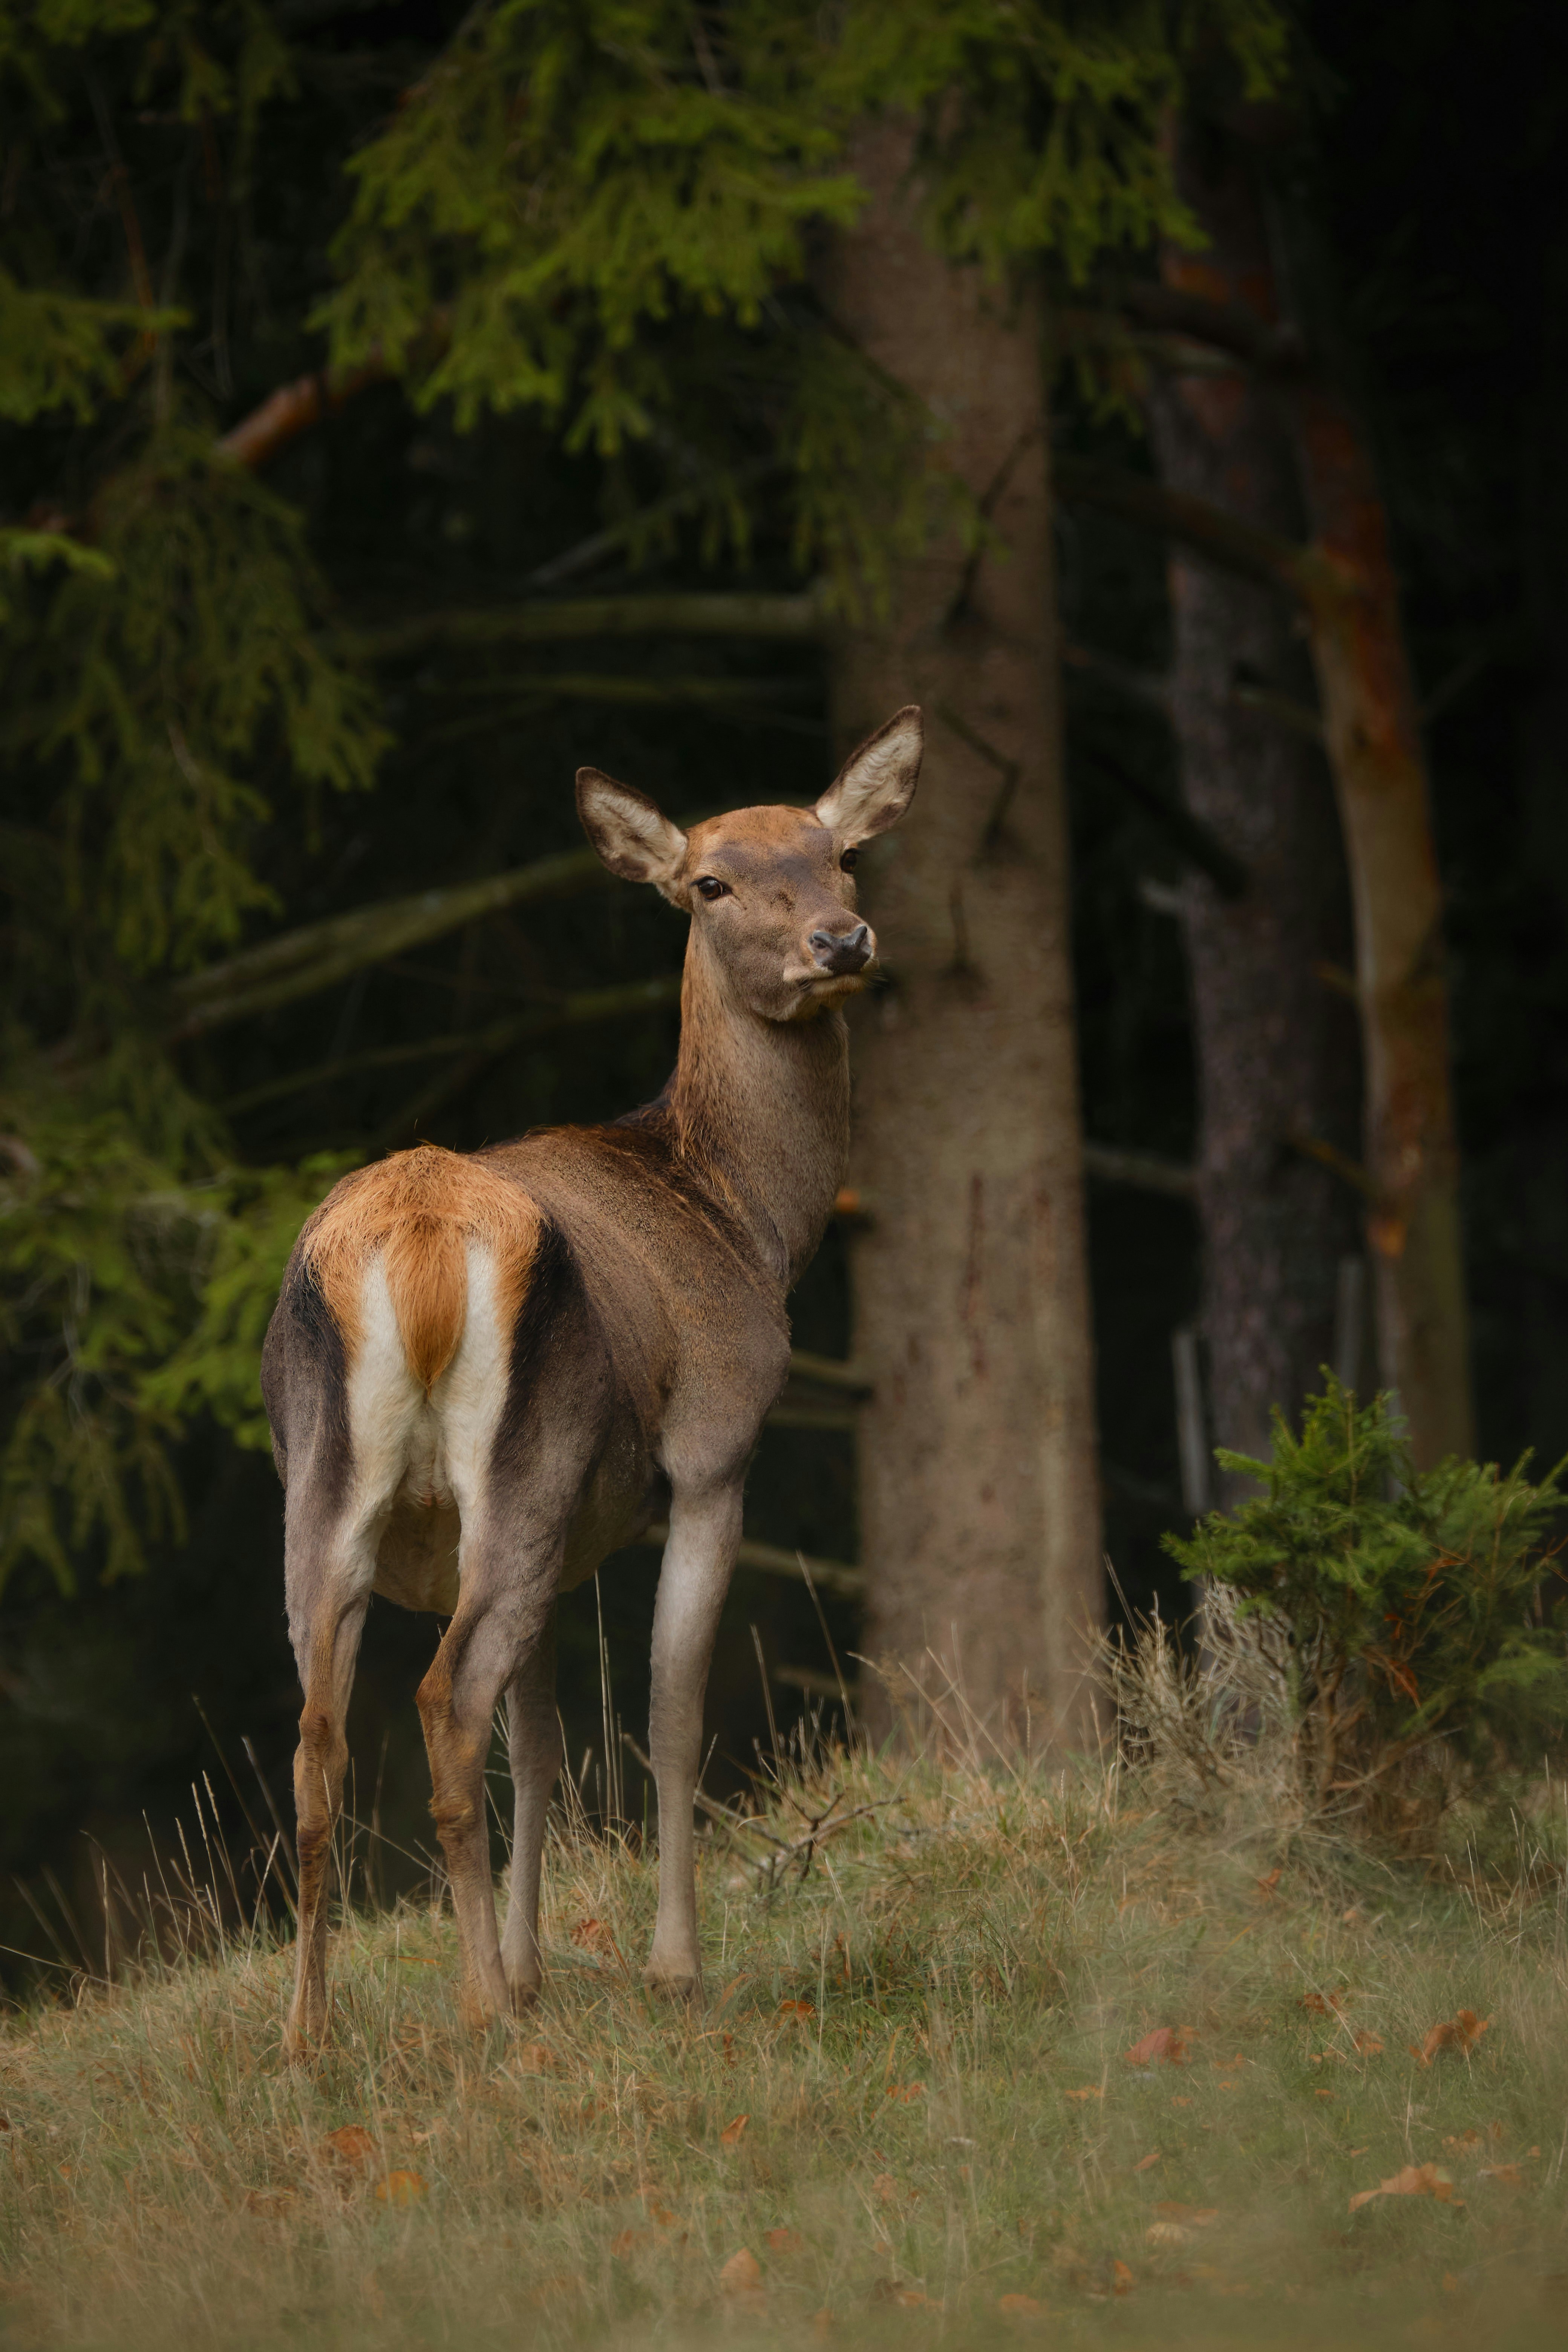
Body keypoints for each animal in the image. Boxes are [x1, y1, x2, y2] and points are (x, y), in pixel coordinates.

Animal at [260, 705, 923, 2054]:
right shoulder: (716, 1444)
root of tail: (416, 1244)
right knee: (445, 1702)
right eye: (711, 882)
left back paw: (309, 2038)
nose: (843, 941)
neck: (744, 1221)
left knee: (320, 1735)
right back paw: (478, 2018)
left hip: (335, 1485)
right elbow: (669, 1711)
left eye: (838, 854)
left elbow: (546, 1739)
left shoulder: (558, 1541)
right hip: (528, 1452)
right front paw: (669, 1969)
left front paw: (534, 1969)